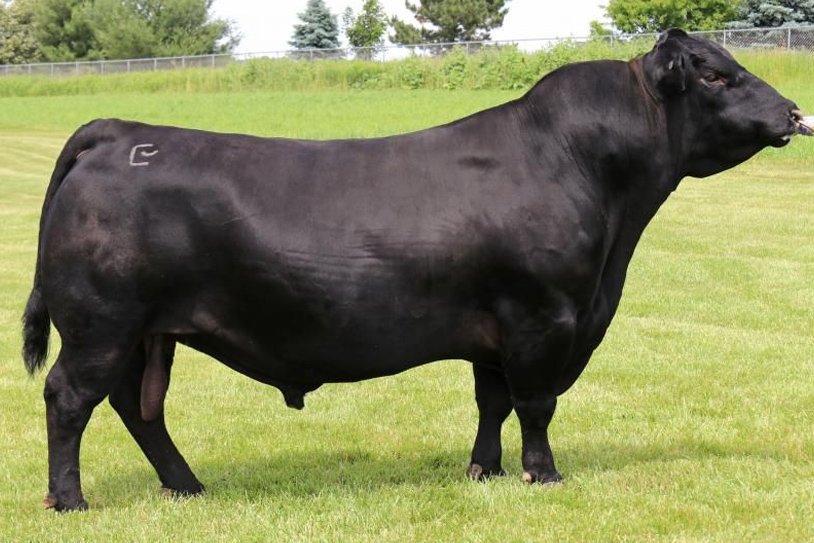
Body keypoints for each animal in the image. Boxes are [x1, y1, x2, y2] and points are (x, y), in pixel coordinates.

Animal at [23, 29, 805, 511]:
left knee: (138, 407)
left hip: (145, 333)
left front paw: (485, 469)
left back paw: (187, 487)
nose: (795, 112)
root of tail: (121, 131)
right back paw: (71, 499)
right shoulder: (543, 318)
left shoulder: (498, 330)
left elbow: (492, 402)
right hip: (100, 325)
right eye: (716, 74)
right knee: (70, 398)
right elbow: (536, 404)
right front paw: (543, 473)